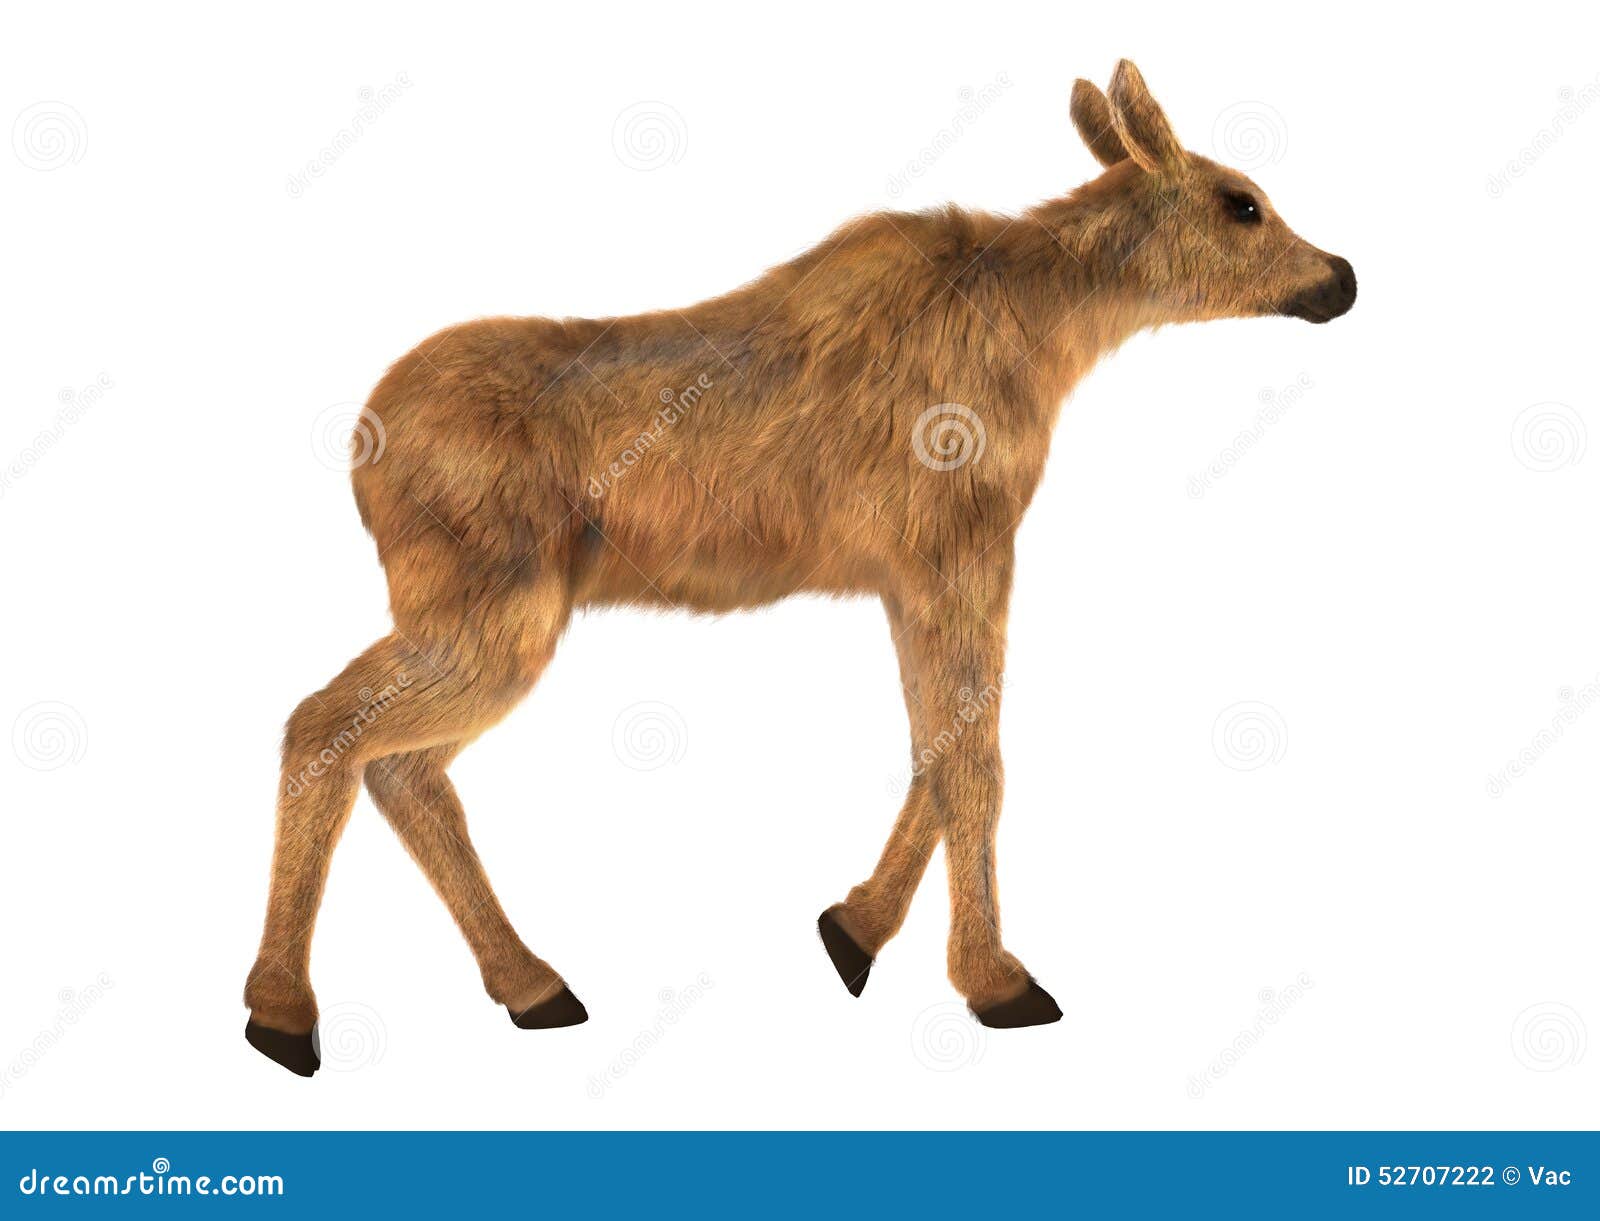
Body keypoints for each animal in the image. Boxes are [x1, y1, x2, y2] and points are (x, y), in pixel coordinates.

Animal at [244, 59, 1356, 1075]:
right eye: (1242, 201)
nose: (1341, 275)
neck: (1053, 338)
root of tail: (361, 447)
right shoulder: (960, 542)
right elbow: (977, 759)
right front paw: (995, 980)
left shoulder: (909, 572)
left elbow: (936, 749)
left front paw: (854, 928)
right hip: (492, 613)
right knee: (326, 727)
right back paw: (285, 1010)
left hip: (478, 616)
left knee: (403, 767)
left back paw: (528, 982)